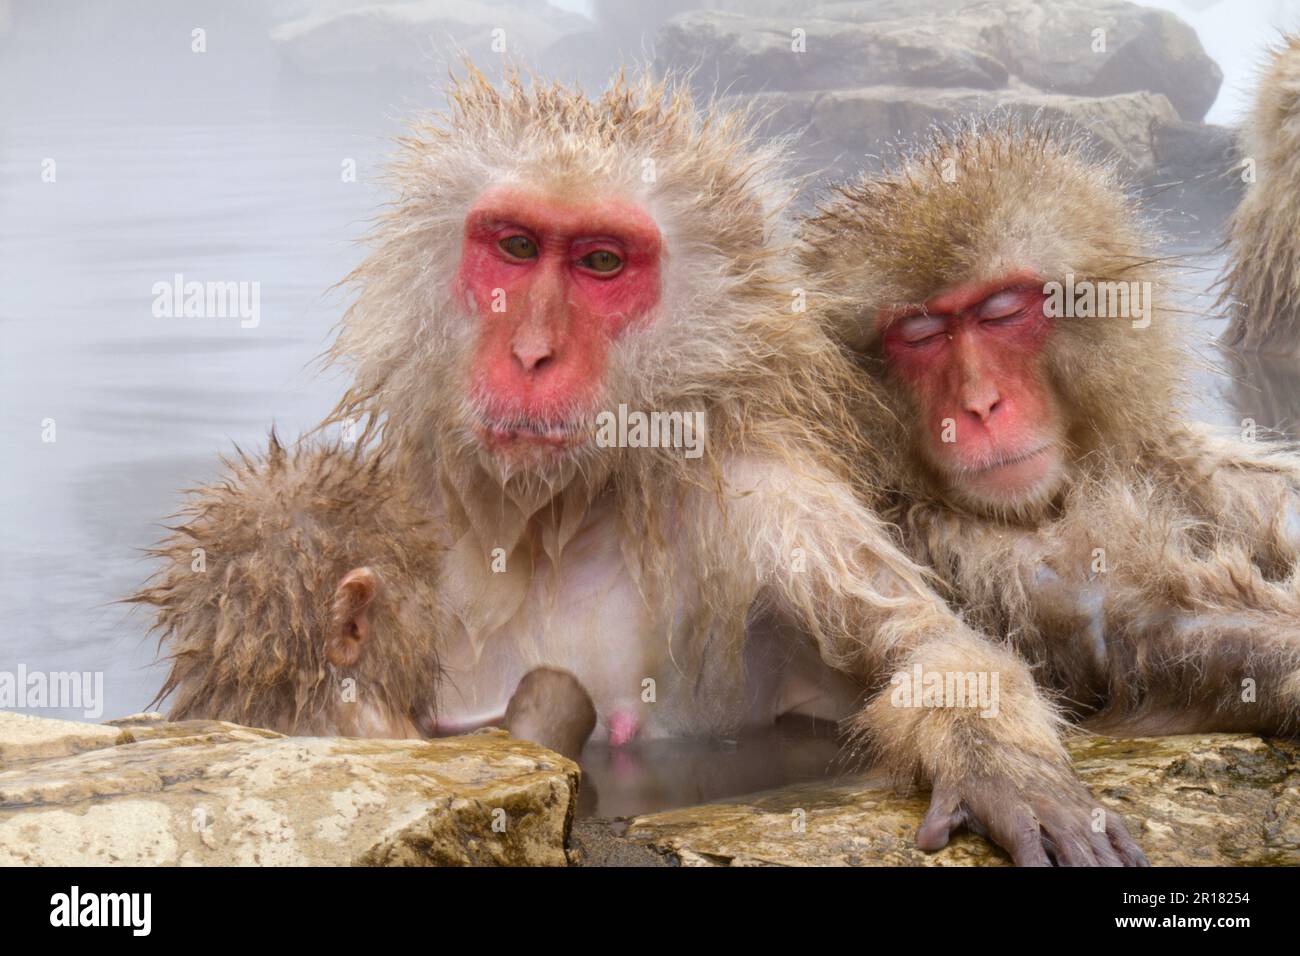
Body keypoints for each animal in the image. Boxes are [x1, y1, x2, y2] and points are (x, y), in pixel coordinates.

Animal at [801, 124, 1300, 861]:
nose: (981, 405)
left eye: (1002, 313)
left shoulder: (1173, 463)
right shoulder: (927, 530)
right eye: (920, 336)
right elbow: (1126, 624)